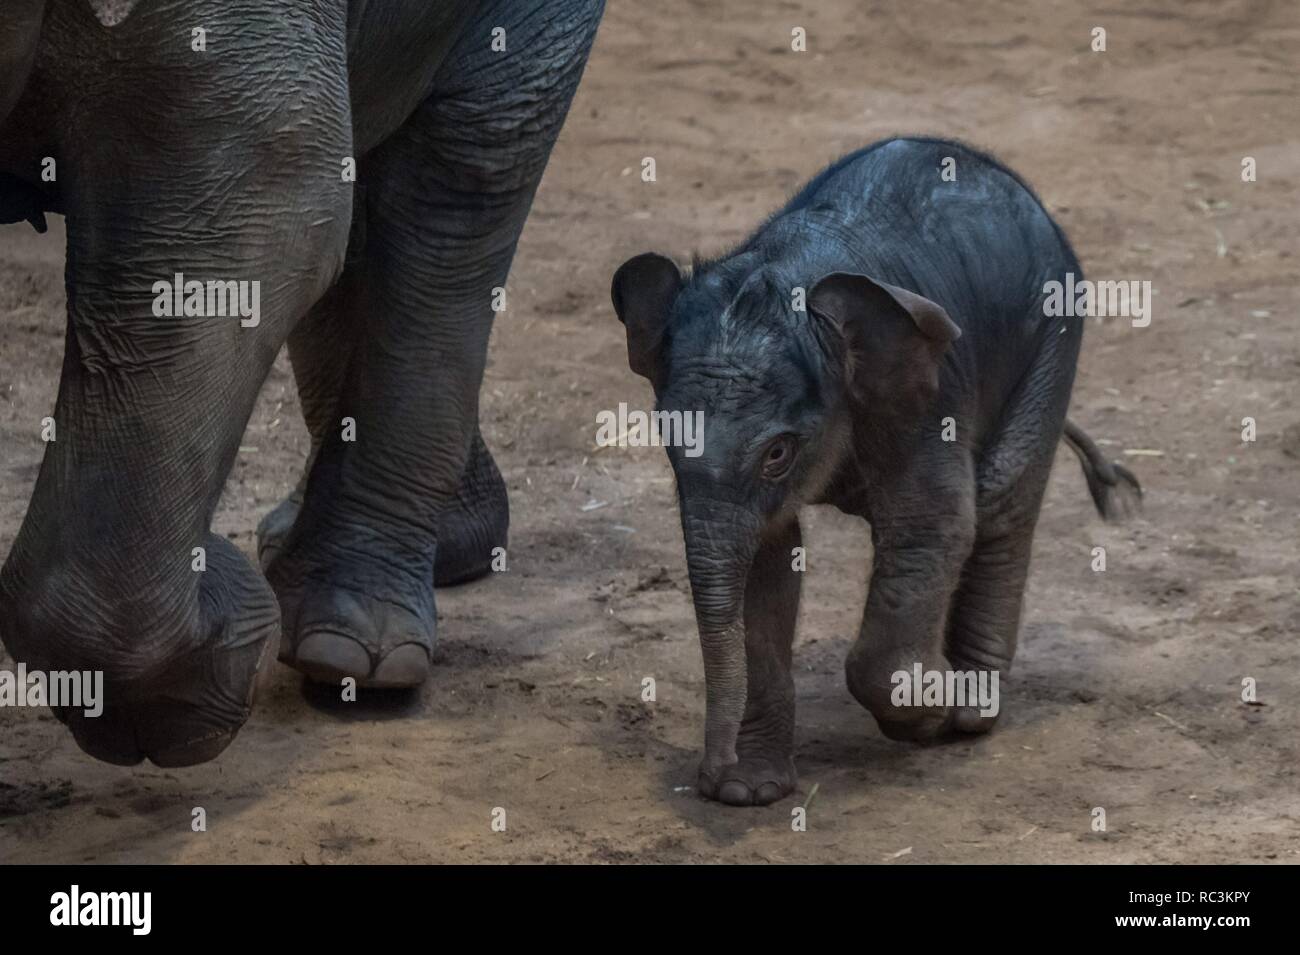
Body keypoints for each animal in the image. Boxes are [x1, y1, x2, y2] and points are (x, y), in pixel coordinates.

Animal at [611, 137, 1141, 806]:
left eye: (778, 453)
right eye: (667, 438)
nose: (708, 775)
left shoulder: (925, 396)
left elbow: (934, 525)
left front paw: (932, 710)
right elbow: (767, 561)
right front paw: (749, 792)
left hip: (1054, 331)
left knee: (1001, 498)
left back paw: (972, 711)